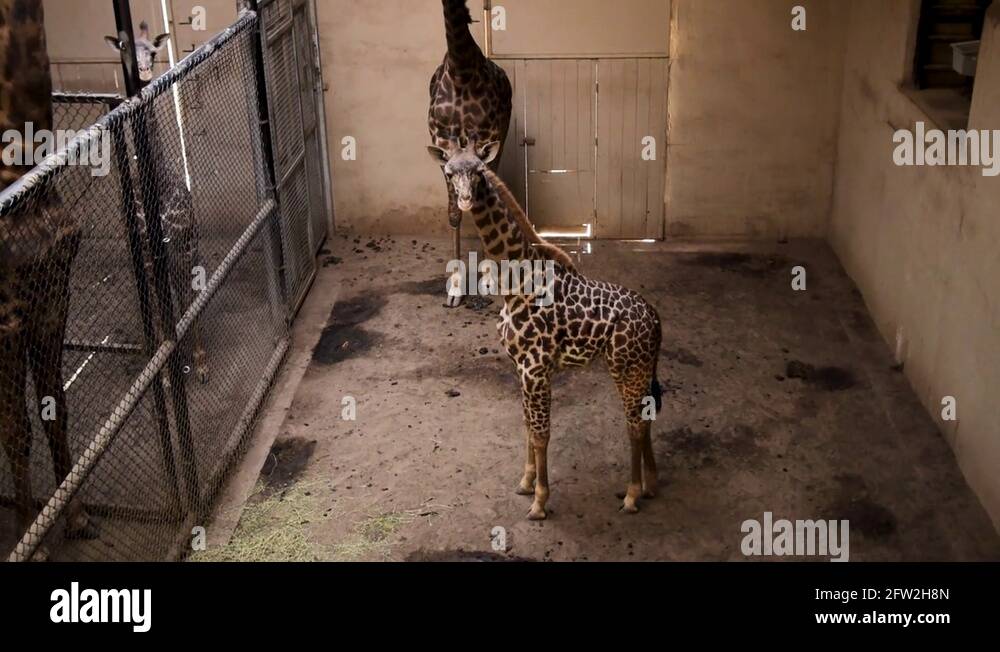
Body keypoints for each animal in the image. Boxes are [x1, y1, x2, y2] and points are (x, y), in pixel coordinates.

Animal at [105, 22, 209, 382]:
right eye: (124, 49)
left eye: (152, 51)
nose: (145, 71)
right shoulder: (150, 256)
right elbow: (164, 312)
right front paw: (166, 372)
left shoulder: (184, 245)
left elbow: (188, 301)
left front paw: (201, 363)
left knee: (181, 295)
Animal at [427, 142, 664, 519]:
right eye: (449, 172)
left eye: (479, 170)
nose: (464, 200)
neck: (515, 285)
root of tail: (655, 319)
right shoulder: (520, 367)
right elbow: (526, 425)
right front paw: (525, 483)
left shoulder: (536, 369)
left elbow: (541, 434)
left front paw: (539, 502)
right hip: (640, 368)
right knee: (647, 418)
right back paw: (651, 484)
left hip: (626, 366)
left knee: (635, 423)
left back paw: (631, 494)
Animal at [428, 0, 512, 307]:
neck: (460, 68)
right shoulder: (442, 141)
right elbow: (454, 213)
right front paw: (454, 288)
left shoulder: (486, 138)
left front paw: (487, 281)